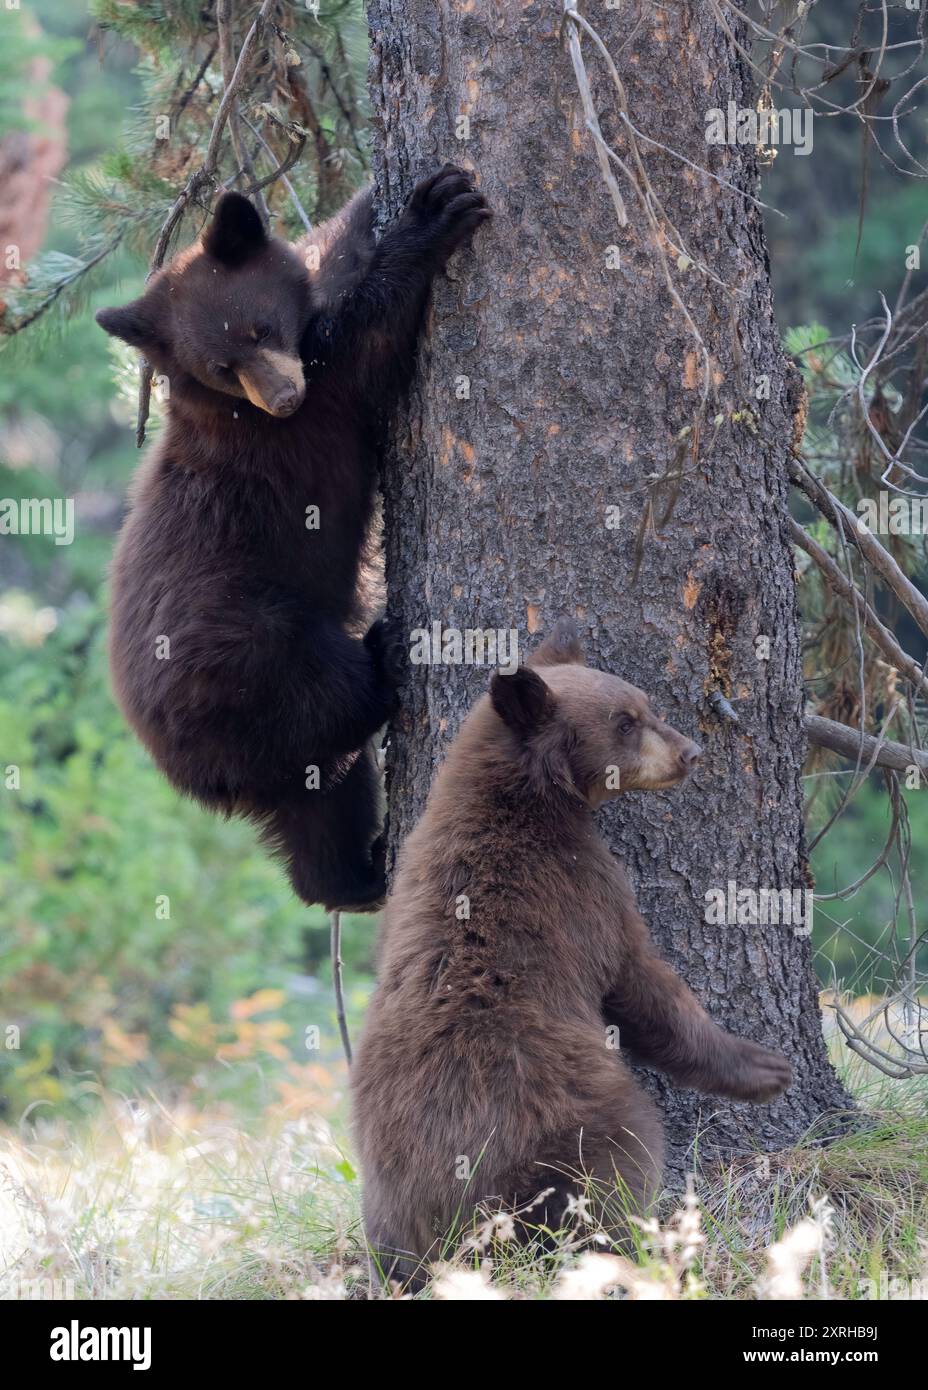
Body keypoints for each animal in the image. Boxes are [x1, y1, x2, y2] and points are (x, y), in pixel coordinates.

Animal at [96, 167, 490, 911]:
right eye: (221, 365)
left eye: (260, 327)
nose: (282, 400)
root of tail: (184, 769)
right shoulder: (319, 406)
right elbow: (367, 338)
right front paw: (432, 214)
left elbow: (328, 251)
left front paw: (379, 203)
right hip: (249, 654)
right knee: (328, 693)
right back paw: (383, 655)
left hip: (274, 758)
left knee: (321, 798)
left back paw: (361, 874)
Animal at [351, 618, 792, 1290]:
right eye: (626, 721)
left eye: (648, 706)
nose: (691, 752)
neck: (527, 794)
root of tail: (457, 1211)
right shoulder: (582, 890)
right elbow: (644, 983)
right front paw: (763, 1066)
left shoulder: (405, 879)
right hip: (577, 1119)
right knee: (619, 1169)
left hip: (383, 1194)